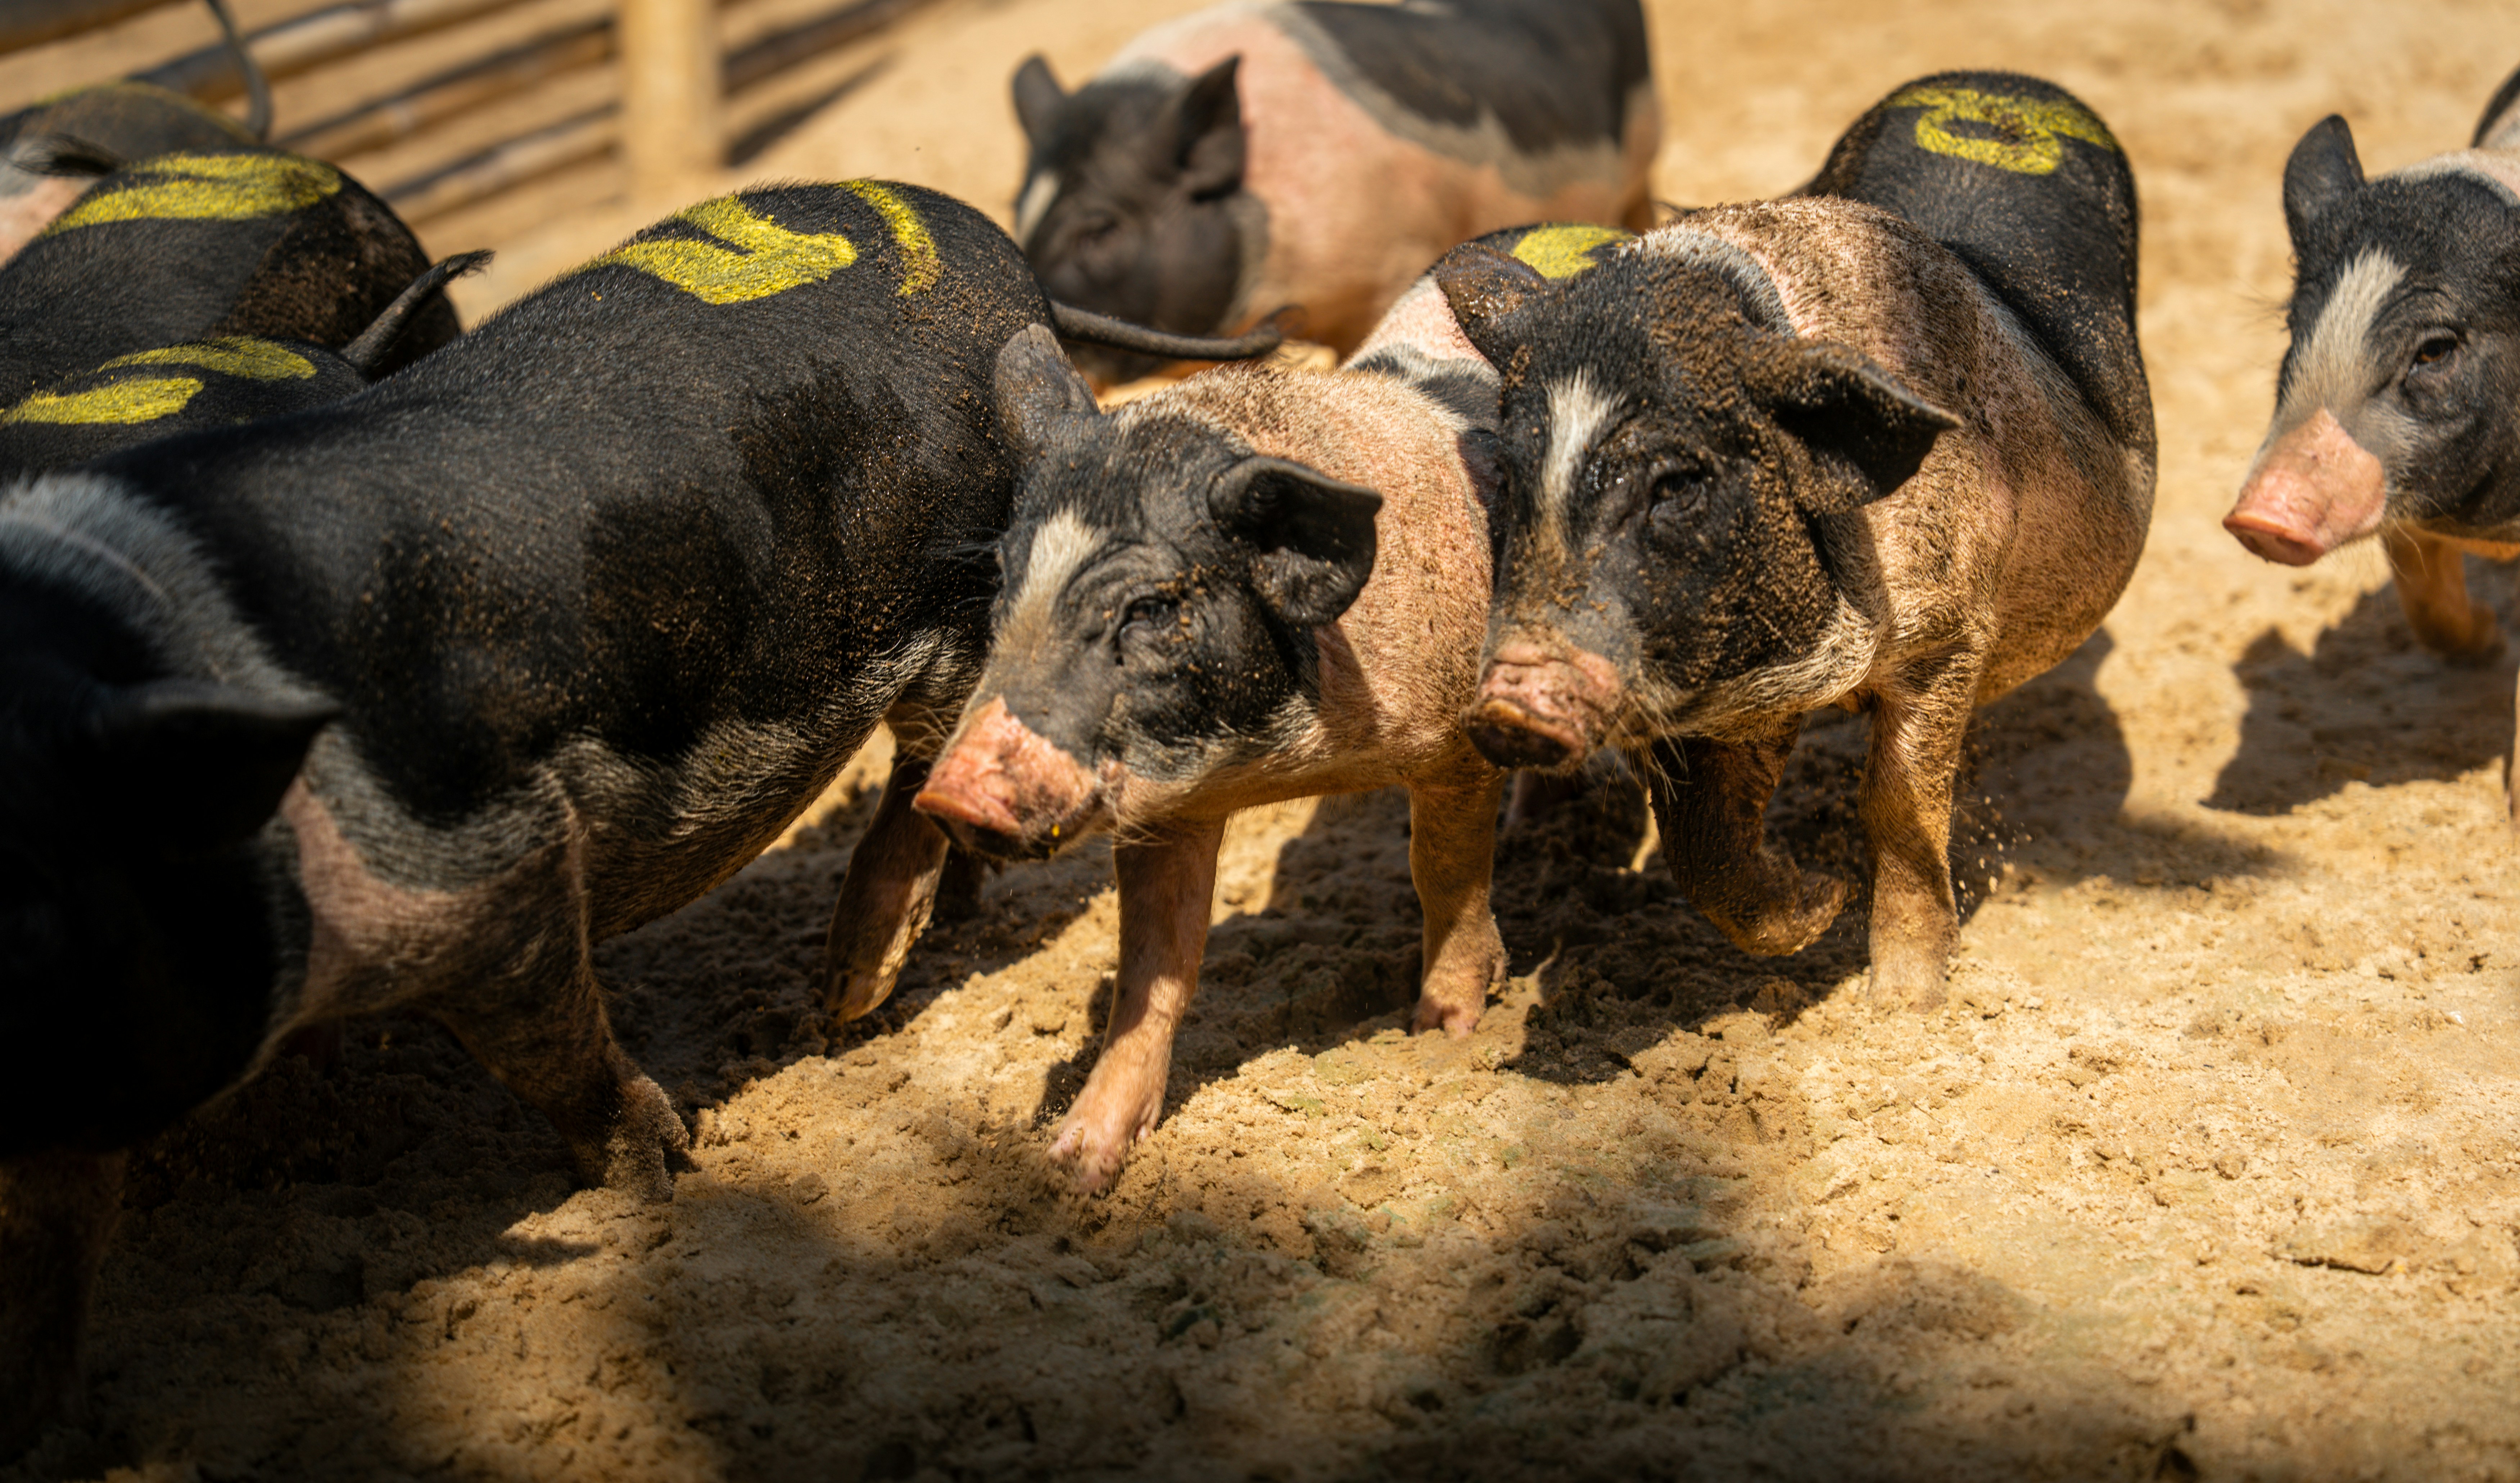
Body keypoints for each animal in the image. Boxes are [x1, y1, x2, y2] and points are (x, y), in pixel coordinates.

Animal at [889, 221, 1633, 1189]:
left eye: (1150, 608)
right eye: (1003, 584)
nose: (949, 793)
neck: (1284, 759)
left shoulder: (1452, 743)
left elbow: (1443, 873)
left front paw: (1439, 1034)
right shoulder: (1168, 812)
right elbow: (1154, 966)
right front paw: (1074, 1166)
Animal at [1437, 71, 2155, 1010]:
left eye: (1679, 482)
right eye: (1511, 467)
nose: (1510, 702)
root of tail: (2006, 83)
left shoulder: (1950, 630)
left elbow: (1900, 805)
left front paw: (1903, 1000)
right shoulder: (1727, 699)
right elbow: (1700, 848)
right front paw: (1819, 902)